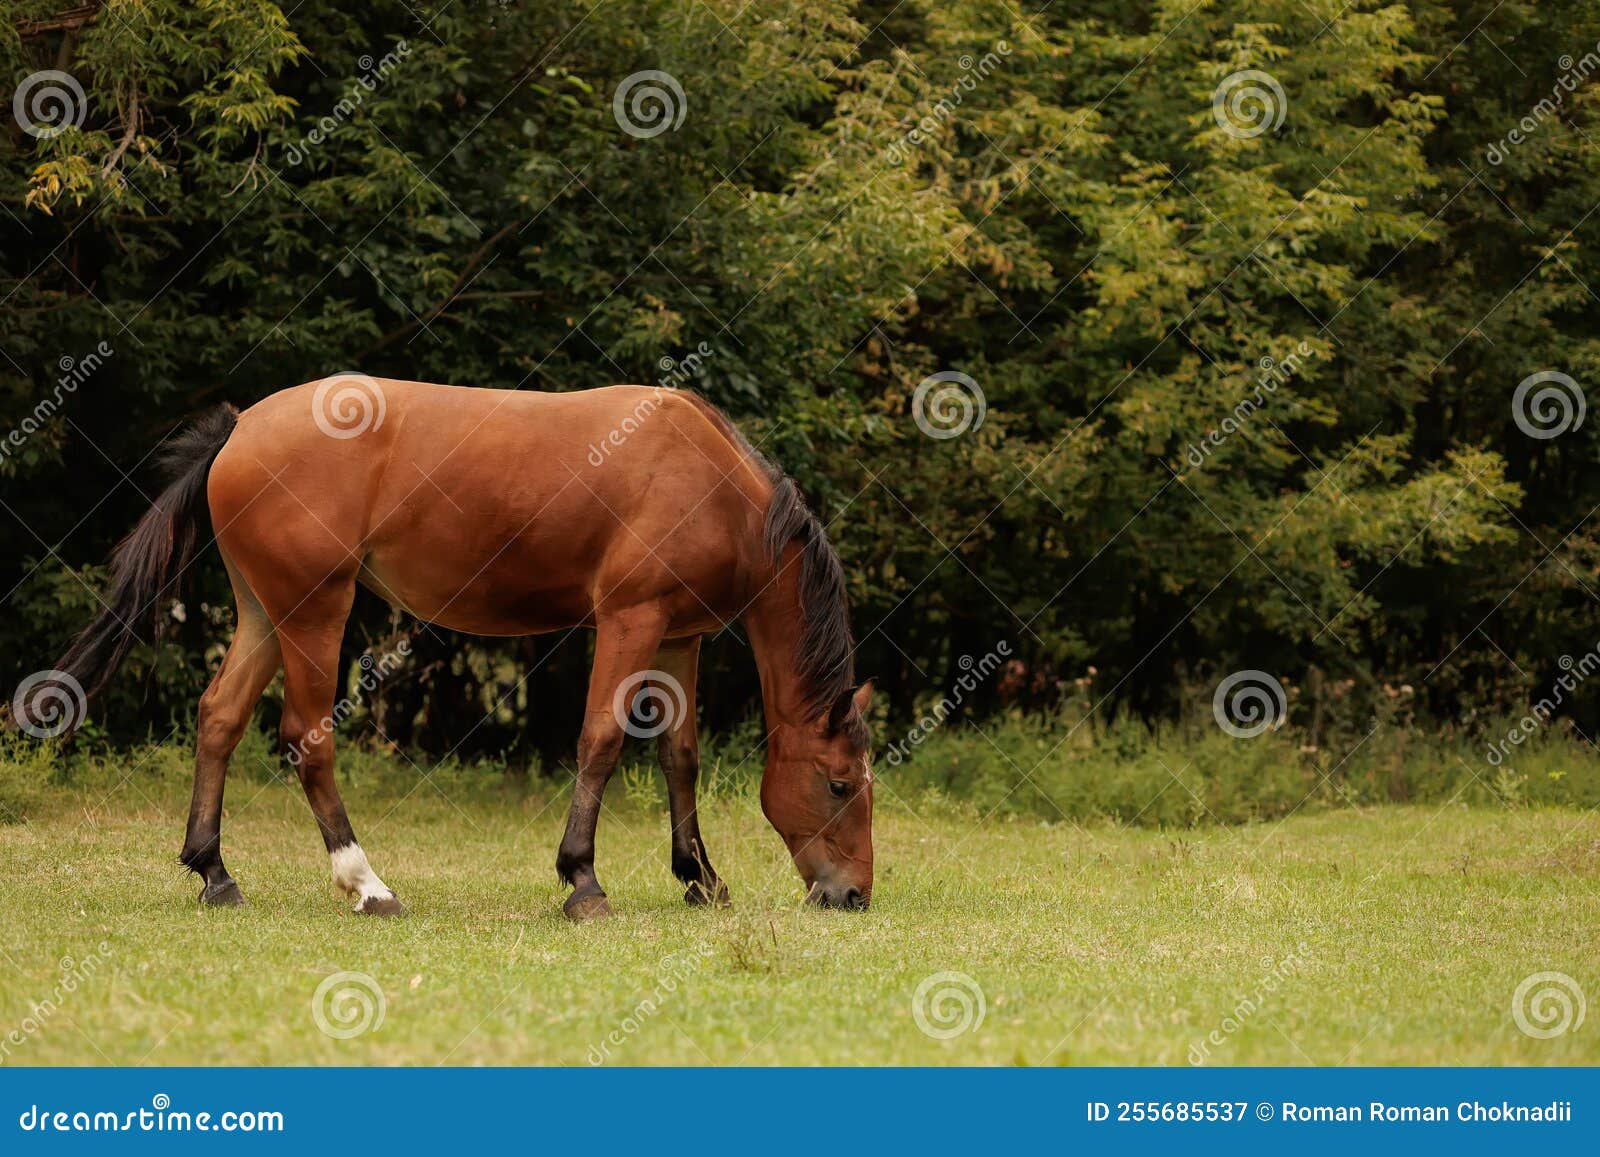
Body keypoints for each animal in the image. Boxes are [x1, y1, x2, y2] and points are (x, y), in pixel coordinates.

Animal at [41, 375, 874, 920]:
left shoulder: (678, 636)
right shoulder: (631, 620)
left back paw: (215, 872)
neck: (709, 481)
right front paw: (583, 880)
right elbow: (601, 741)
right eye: (838, 784)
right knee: (306, 739)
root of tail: (240, 427)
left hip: (263, 613)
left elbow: (680, 755)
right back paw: (366, 884)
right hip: (314, 613)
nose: (853, 893)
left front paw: (700, 877)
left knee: (218, 717)